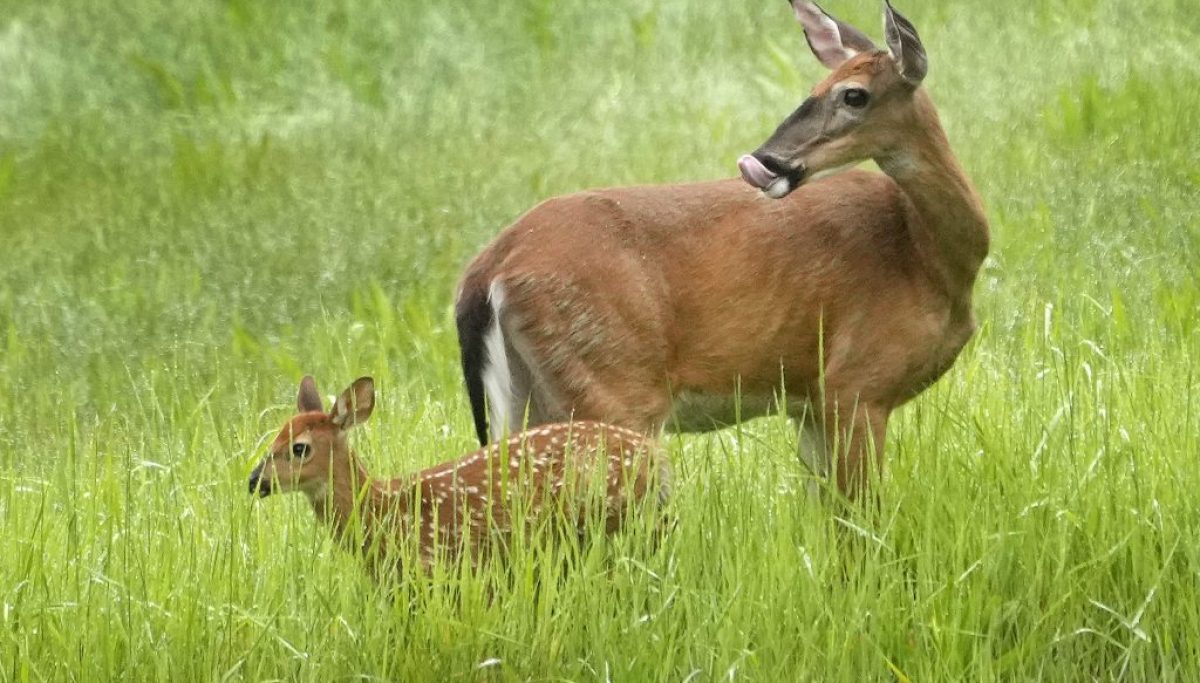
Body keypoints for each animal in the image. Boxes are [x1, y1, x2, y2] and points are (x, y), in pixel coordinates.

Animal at [454, 1, 989, 499]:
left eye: (853, 94)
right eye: (815, 89)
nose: (765, 161)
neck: (928, 258)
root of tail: (485, 272)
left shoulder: (810, 404)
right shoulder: (855, 384)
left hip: (526, 402)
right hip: (612, 390)